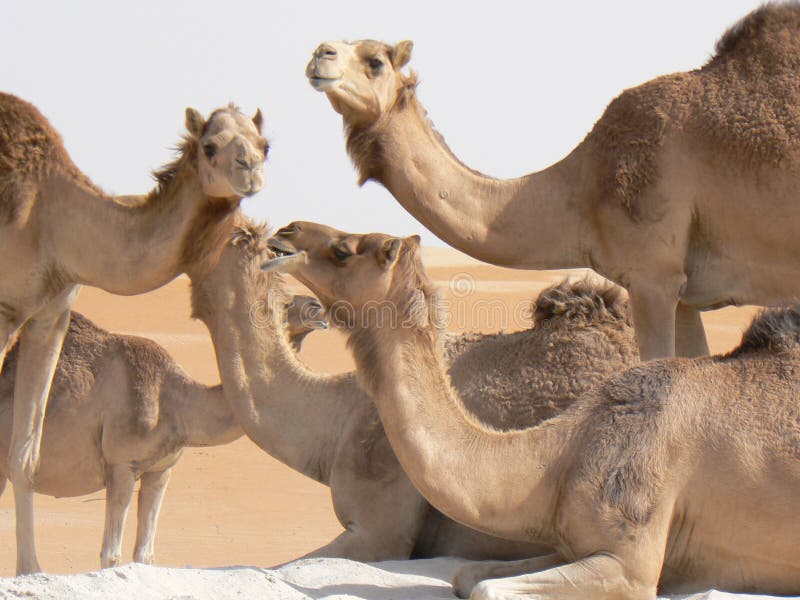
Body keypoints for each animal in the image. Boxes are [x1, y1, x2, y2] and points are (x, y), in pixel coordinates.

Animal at [0, 92, 267, 573]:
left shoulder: (49, 314)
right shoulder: (2, 308)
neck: (52, 221)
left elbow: (26, 456)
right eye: (210, 146)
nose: (250, 171)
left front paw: (30, 569)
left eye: (265, 145)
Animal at [0, 295, 319, 569]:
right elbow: (111, 555)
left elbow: (144, 555)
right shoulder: (121, 465)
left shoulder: (161, 470)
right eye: (281, 303)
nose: (317, 306)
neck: (178, 402)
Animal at [266, 229, 800, 599]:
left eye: (343, 249)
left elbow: (486, 588)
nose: (286, 234)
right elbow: (468, 575)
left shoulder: (632, 563)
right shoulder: (568, 543)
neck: (563, 451)